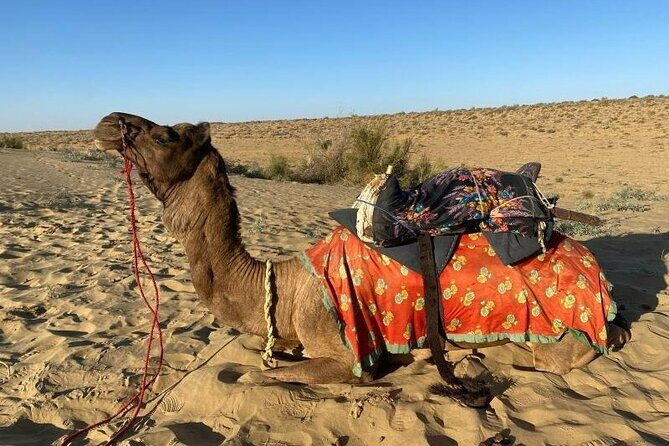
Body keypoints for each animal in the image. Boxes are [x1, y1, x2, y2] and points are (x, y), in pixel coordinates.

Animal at [93, 112, 630, 393]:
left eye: (164, 134)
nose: (108, 122)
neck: (285, 285)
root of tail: (598, 276)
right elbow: (261, 358)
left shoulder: (341, 354)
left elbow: (252, 377)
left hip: (558, 337)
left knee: (556, 360)